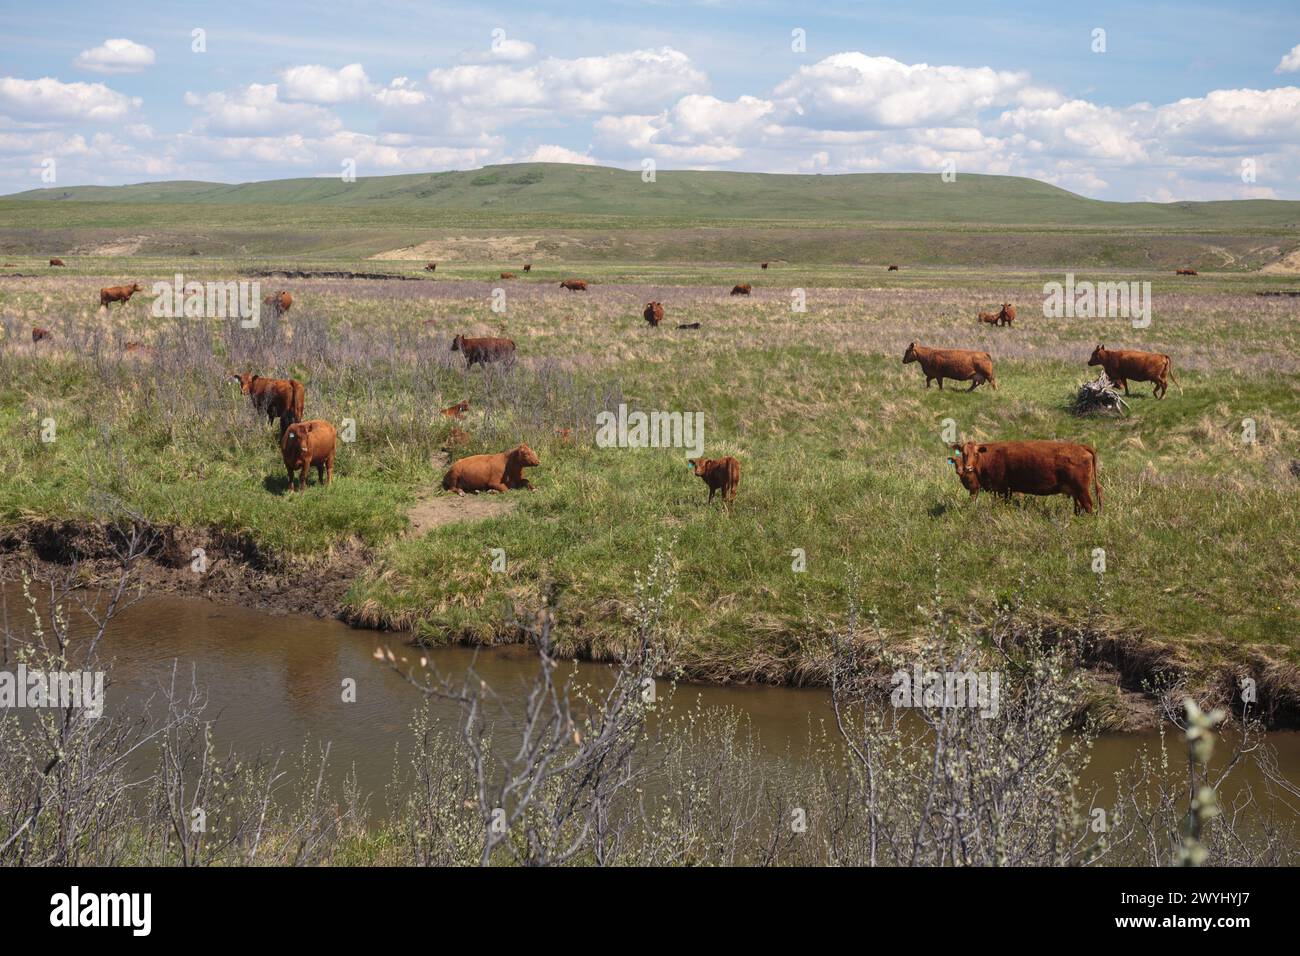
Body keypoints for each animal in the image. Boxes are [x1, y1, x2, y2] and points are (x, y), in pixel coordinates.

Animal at [948, 440, 1101, 515]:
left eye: (976, 454)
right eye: (963, 454)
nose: (968, 468)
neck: (989, 457)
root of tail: (1081, 447)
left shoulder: (1002, 489)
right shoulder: (1006, 490)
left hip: (1082, 490)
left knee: (1089, 506)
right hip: (1077, 492)